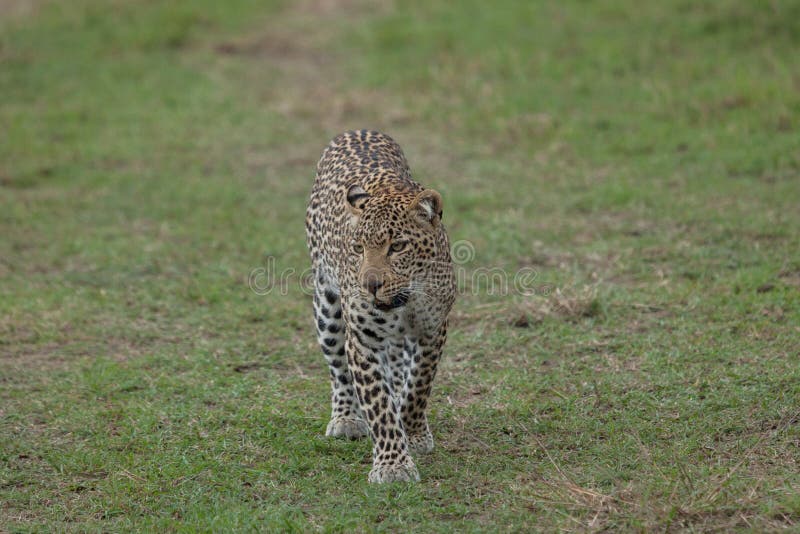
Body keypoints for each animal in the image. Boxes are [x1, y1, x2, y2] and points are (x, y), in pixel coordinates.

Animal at [306, 130, 456, 483]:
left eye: (397, 246)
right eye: (358, 248)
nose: (370, 285)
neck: (406, 301)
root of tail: (357, 130)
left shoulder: (433, 330)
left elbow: (419, 385)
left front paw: (413, 433)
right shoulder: (363, 341)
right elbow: (378, 405)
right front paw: (393, 465)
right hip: (327, 308)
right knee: (338, 368)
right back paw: (346, 418)